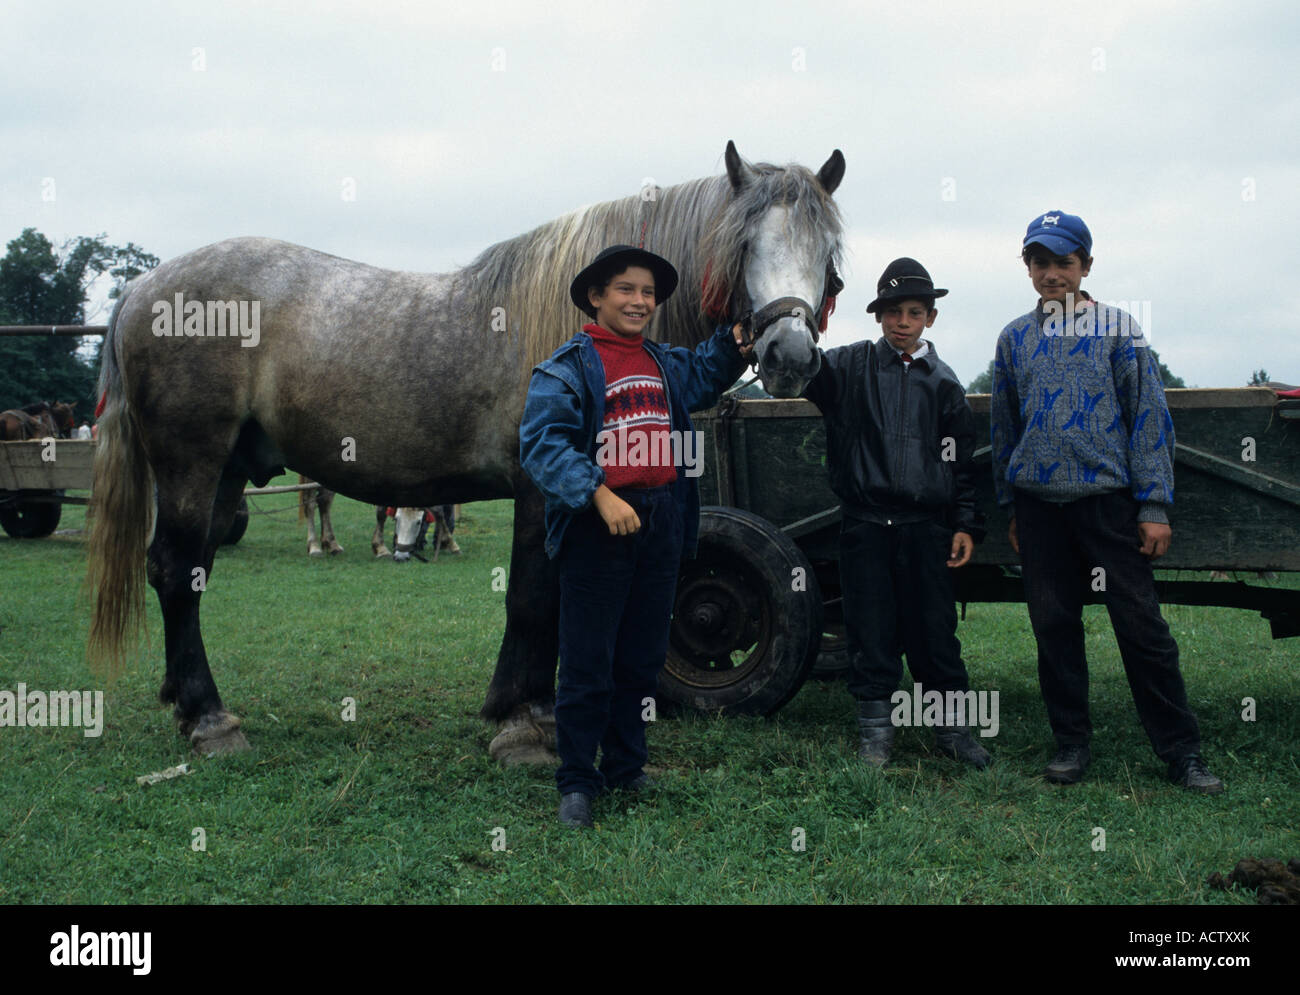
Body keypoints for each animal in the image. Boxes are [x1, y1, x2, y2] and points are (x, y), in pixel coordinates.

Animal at [86, 140, 846, 758]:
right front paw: (526, 724)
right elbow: (536, 600)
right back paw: (210, 720)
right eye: (744, 243)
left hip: (225, 474)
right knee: (174, 568)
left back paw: (190, 706)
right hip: (191, 465)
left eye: (828, 257)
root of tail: (142, 288)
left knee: (190, 572)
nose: (789, 357)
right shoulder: (546, 491)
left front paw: (526, 711)